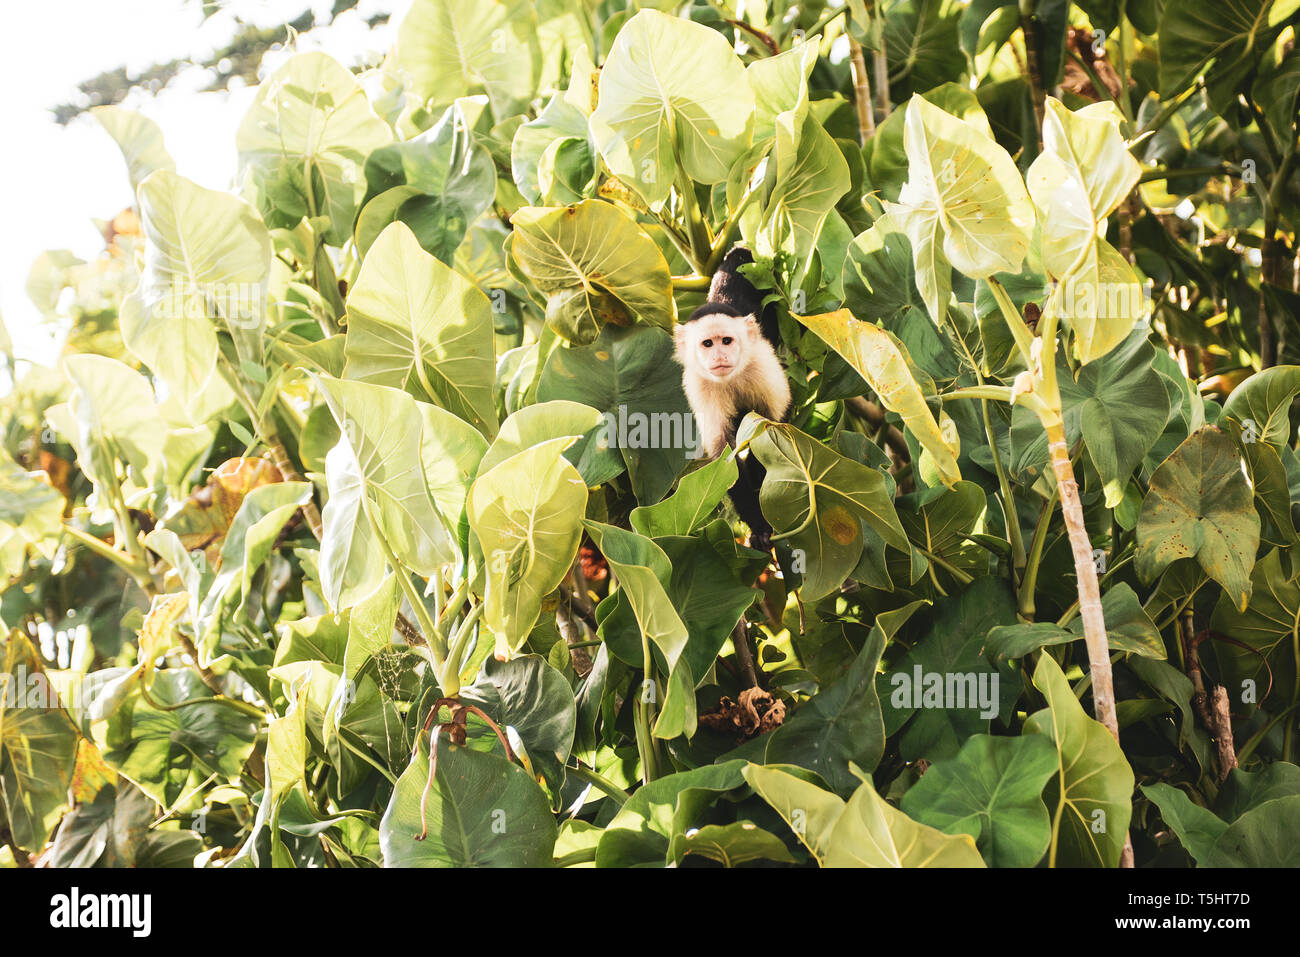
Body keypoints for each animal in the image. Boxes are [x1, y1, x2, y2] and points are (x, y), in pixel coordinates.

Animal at [673, 246, 791, 551]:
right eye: (707, 344)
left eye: (726, 341)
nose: (719, 356)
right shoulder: (698, 384)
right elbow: (724, 461)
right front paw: (759, 527)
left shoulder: (762, 365)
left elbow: (772, 428)